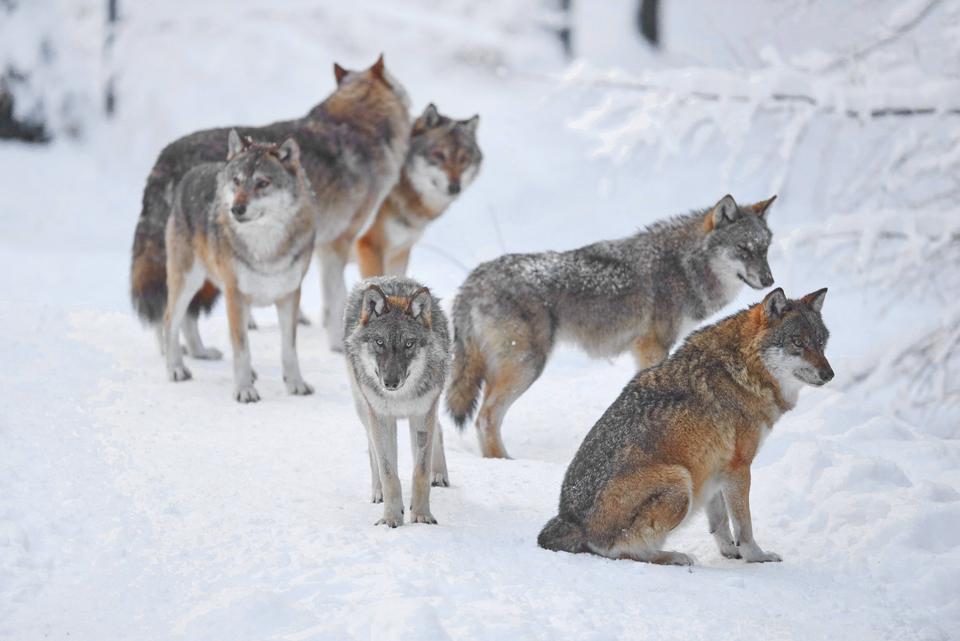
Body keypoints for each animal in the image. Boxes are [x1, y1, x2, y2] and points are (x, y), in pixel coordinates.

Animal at [130, 55, 410, 353]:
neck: (358, 124)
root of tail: (165, 155)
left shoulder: (317, 249)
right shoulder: (337, 244)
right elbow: (338, 299)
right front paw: (339, 346)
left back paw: (194, 353)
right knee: (178, 311)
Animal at [162, 130, 316, 403]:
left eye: (262, 183)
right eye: (237, 180)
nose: (237, 208)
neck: (264, 248)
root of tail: (190, 174)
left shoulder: (289, 296)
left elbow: (289, 349)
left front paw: (296, 384)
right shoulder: (236, 295)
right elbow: (242, 349)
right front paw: (244, 390)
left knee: (186, 319)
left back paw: (202, 353)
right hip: (188, 281)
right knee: (169, 320)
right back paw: (176, 369)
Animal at [343, 277, 451, 527]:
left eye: (409, 343)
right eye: (379, 341)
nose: (391, 382)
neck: (400, 397)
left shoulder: (422, 415)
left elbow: (420, 472)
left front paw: (421, 516)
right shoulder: (381, 419)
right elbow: (389, 474)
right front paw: (391, 518)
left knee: (439, 431)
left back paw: (439, 474)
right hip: (364, 409)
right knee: (372, 451)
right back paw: (377, 492)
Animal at [447, 194, 777, 458]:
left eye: (764, 249)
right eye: (743, 249)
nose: (769, 280)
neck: (683, 267)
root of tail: (473, 279)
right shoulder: (652, 346)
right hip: (526, 367)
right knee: (485, 417)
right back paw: (502, 461)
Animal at [538, 287, 833, 565]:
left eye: (820, 343)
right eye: (798, 343)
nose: (829, 374)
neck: (744, 369)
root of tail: (570, 520)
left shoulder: (715, 467)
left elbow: (720, 523)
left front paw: (730, 552)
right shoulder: (739, 467)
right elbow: (744, 525)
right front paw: (756, 556)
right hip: (681, 482)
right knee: (622, 552)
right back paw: (673, 557)